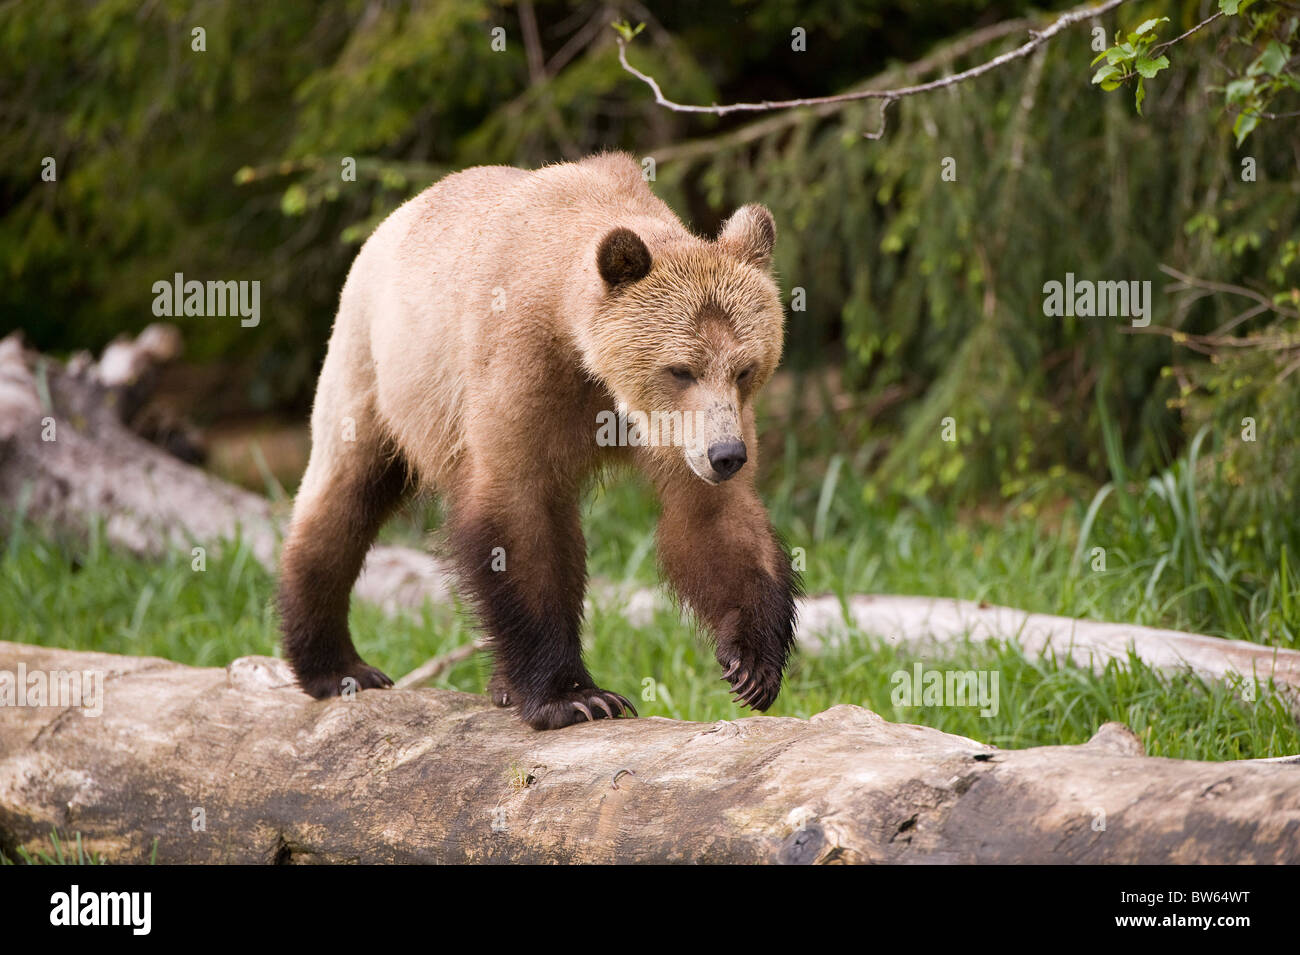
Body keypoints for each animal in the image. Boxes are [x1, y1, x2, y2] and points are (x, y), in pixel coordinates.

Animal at [277, 152, 799, 730]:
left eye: (745, 368)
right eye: (680, 369)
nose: (726, 455)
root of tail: (393, 218)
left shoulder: (672, 430)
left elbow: (715, 522)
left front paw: (752, 666)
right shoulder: (521, 373)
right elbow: (519, 519)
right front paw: (574, 696)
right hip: (379, 371)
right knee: (345, 497)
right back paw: (336, 665)